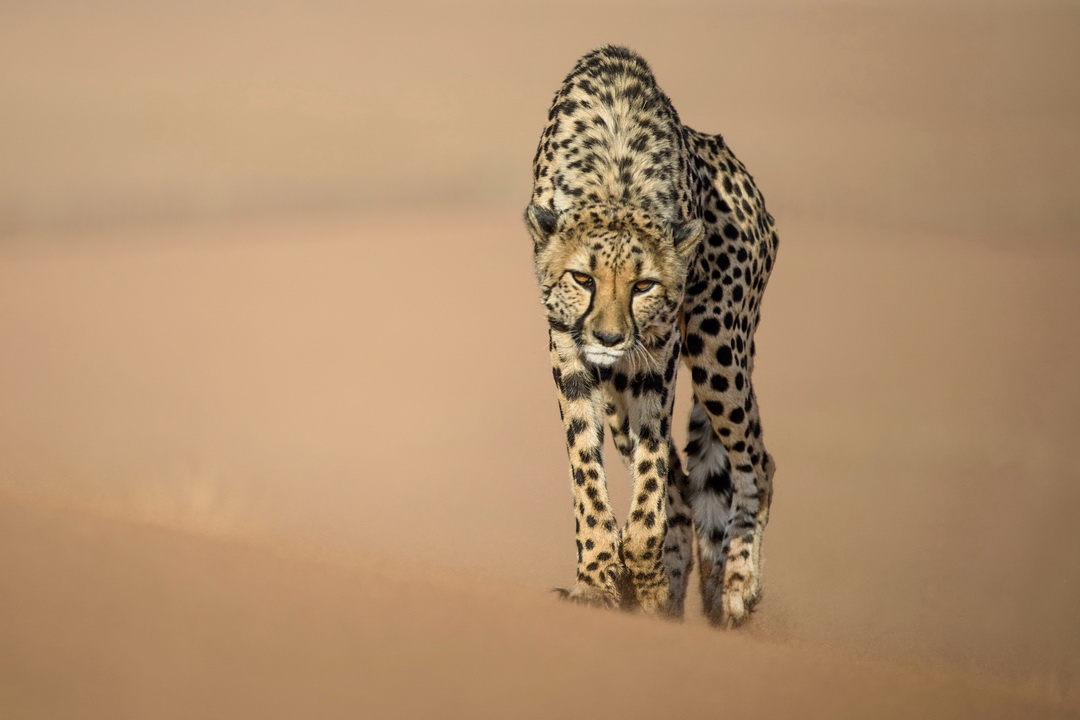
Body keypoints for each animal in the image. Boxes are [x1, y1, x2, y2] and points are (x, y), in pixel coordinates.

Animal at [524, 46, 778, 627]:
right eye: (582, 278)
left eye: (644, 285)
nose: (609, 336)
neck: (614, 176)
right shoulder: (567, 348)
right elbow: (587, 472)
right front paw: (600, 577)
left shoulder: (656, 355)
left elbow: (650, 482)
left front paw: (636, 562)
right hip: (621, 392)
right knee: (685, 487)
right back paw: (668, 598)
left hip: (716, 345)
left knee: (756, 462)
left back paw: (735, 582)